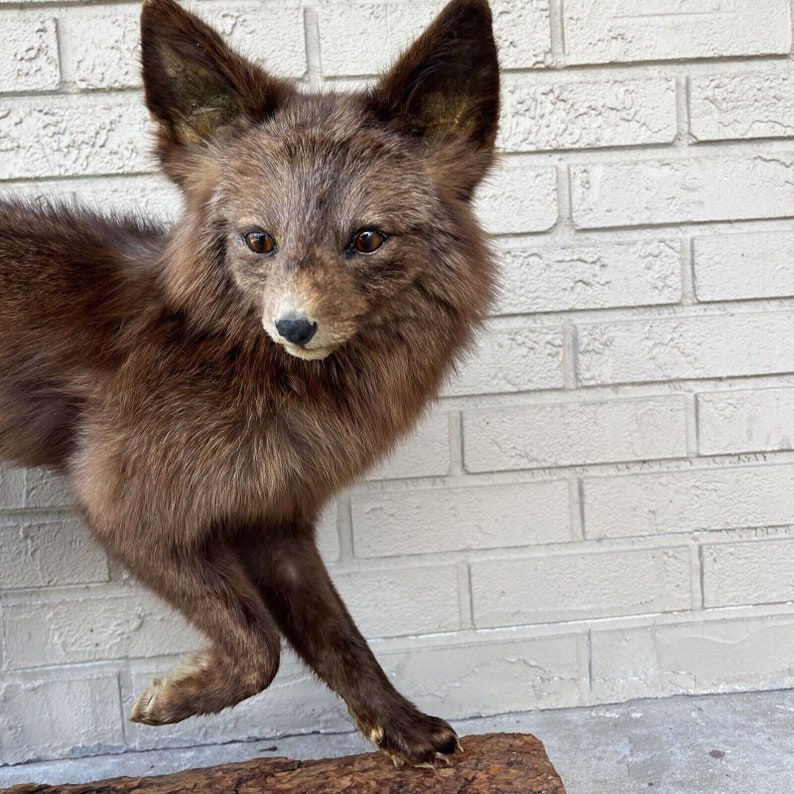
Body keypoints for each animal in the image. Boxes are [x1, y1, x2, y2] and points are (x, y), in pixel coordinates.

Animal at [0, 0, 499, 768]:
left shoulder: (274, 519)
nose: (294, 325)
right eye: (258, 240)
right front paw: (175, 698)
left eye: (366, 239)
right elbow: (258, 644)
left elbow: (340, 640)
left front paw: (401, 728)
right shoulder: (120, 505)